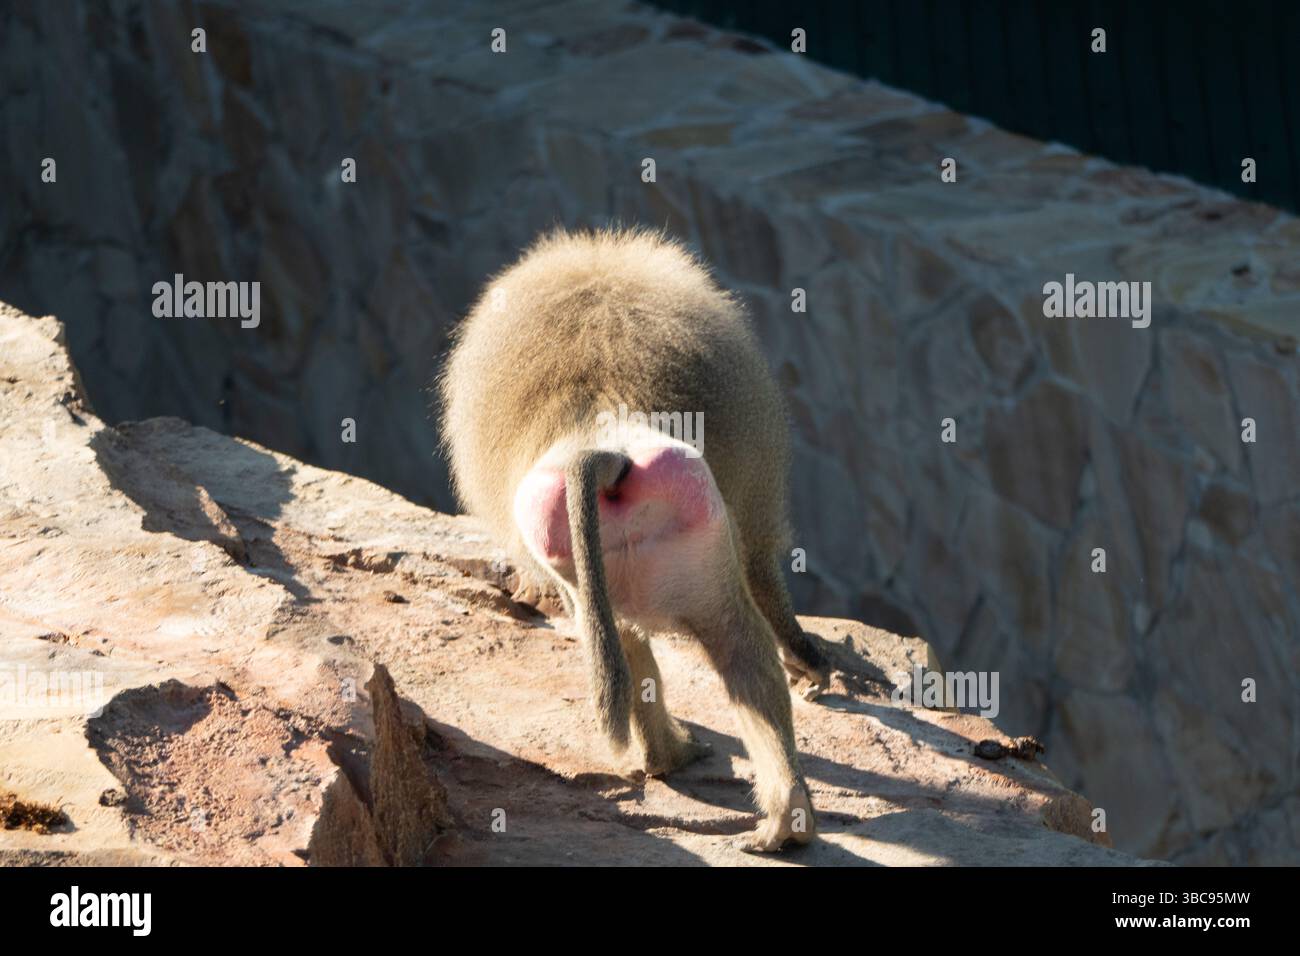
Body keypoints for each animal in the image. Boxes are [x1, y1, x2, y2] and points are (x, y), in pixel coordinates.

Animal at [437, 227, 830, 851]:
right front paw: (810, 661)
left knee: (655, 642)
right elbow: (763, 566)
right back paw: (758, 801)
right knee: (737, 643)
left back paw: (724, 787)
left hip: (585, 545)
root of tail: (604, 452)